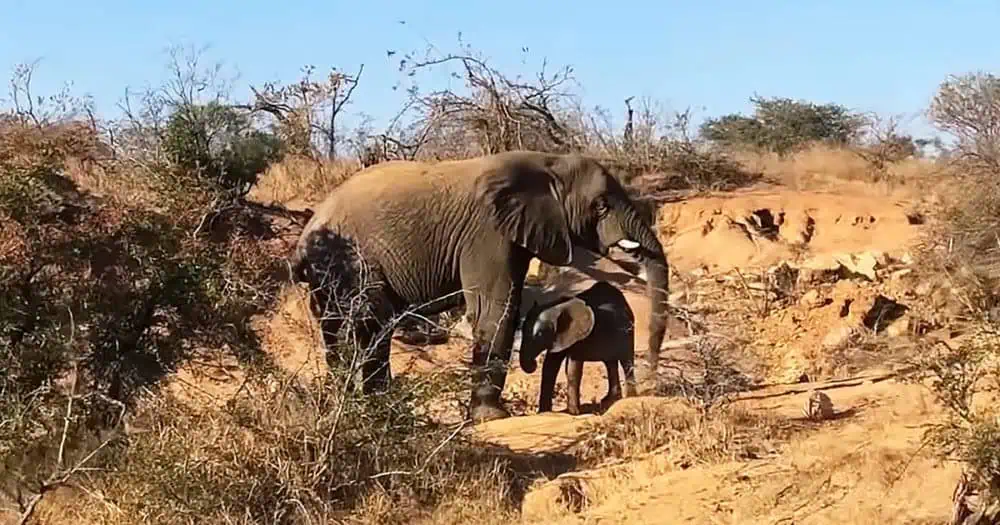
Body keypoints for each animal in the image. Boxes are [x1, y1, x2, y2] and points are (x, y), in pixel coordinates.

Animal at [518, 280, 638, 415]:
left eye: (539, 335)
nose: (533, 364)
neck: (558, 307)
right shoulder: (560, 337)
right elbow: (550, 366)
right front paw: (544, 413)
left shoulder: (580, 336)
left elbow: (572, 368)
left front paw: (573, 413)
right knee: (610, 363)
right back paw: (609, 401)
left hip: (628, 331)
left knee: (626, 362)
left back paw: (629, 398)